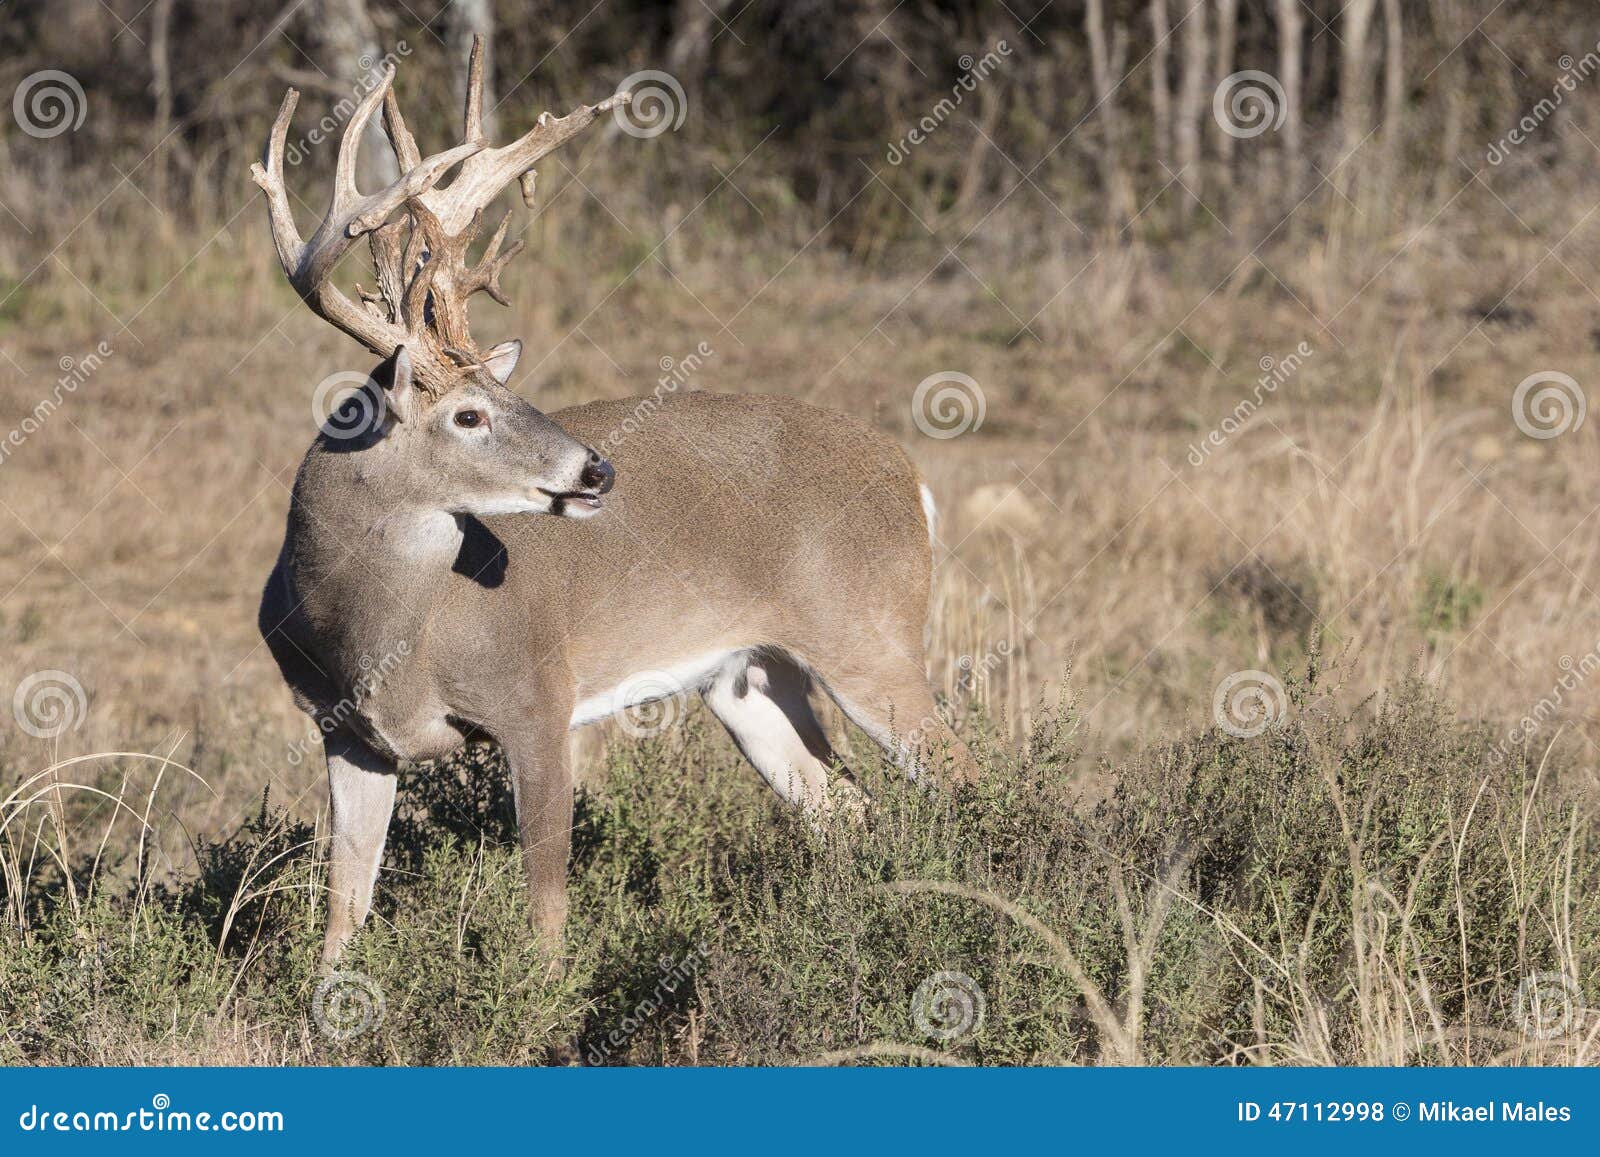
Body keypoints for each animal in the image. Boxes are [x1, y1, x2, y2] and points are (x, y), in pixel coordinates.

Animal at [253, 38, 976, 965]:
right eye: (470, 412)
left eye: (501, 391)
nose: (596, 469)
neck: (369, 634)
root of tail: (910, 476)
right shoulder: (346, 735)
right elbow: (344, 912)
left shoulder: (537, 696)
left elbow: (547, 907)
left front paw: (541, 995)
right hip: (745, 678)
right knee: (846, 805)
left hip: (870, 633)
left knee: (962, 774)